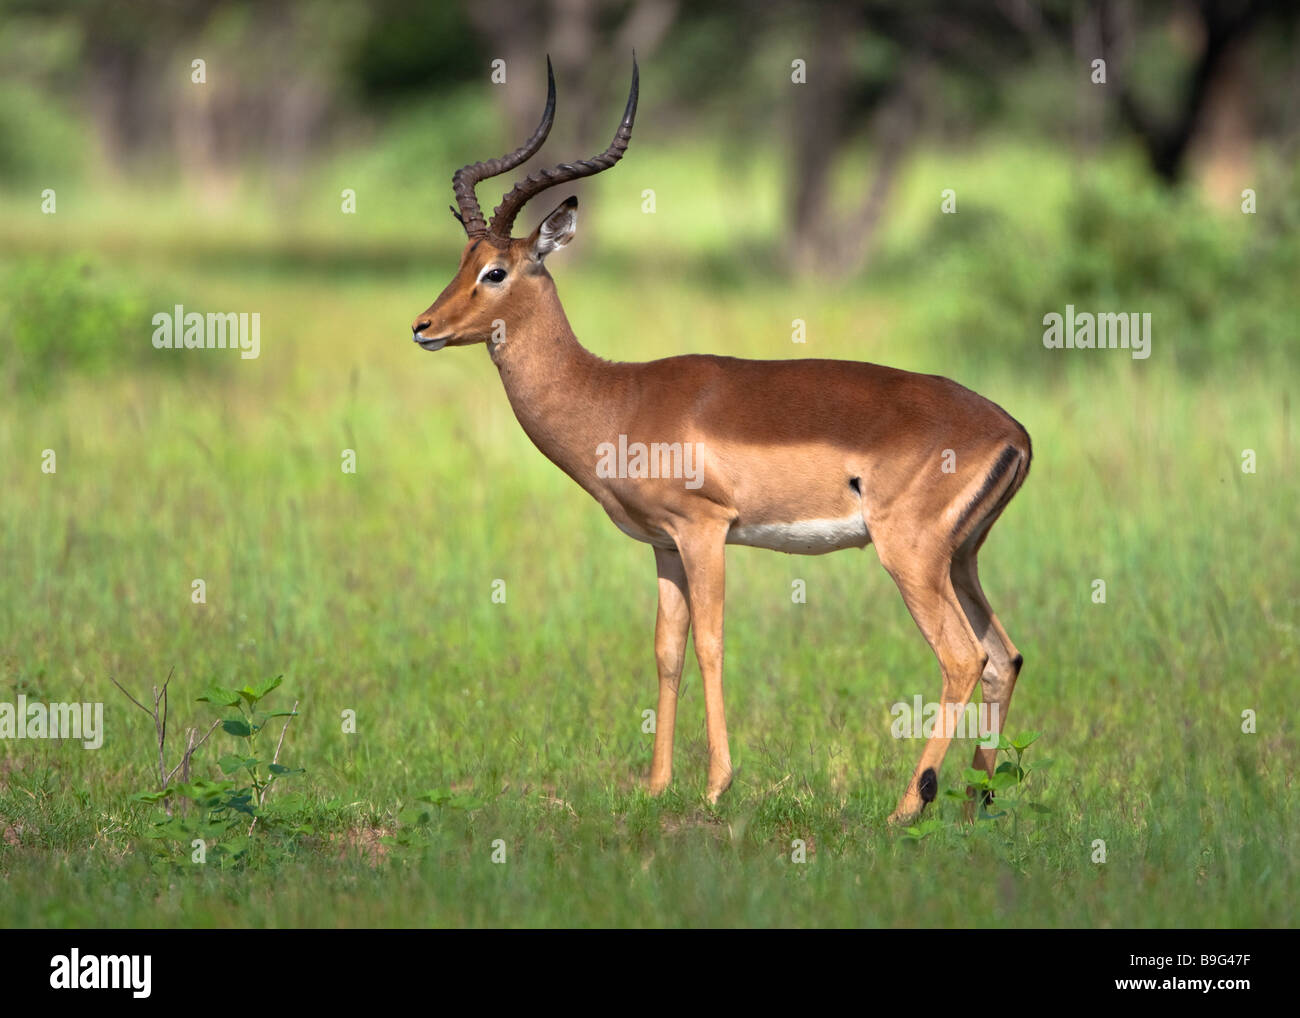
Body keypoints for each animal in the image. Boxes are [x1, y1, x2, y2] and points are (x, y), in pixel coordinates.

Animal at [411, 58, 1031, 825]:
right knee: (1003, 655)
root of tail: (1012, 432)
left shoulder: (705, 530)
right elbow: (666, 651)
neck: (617, 397)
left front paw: (715, 787)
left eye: (495, 270)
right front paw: (654, 787)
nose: (424, 326)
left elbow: (711, 645)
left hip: (910, 555)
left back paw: (905, 809)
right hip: (962, 557)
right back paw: (977, 803)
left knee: (961, 657)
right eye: (463, 258)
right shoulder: (664, 546)